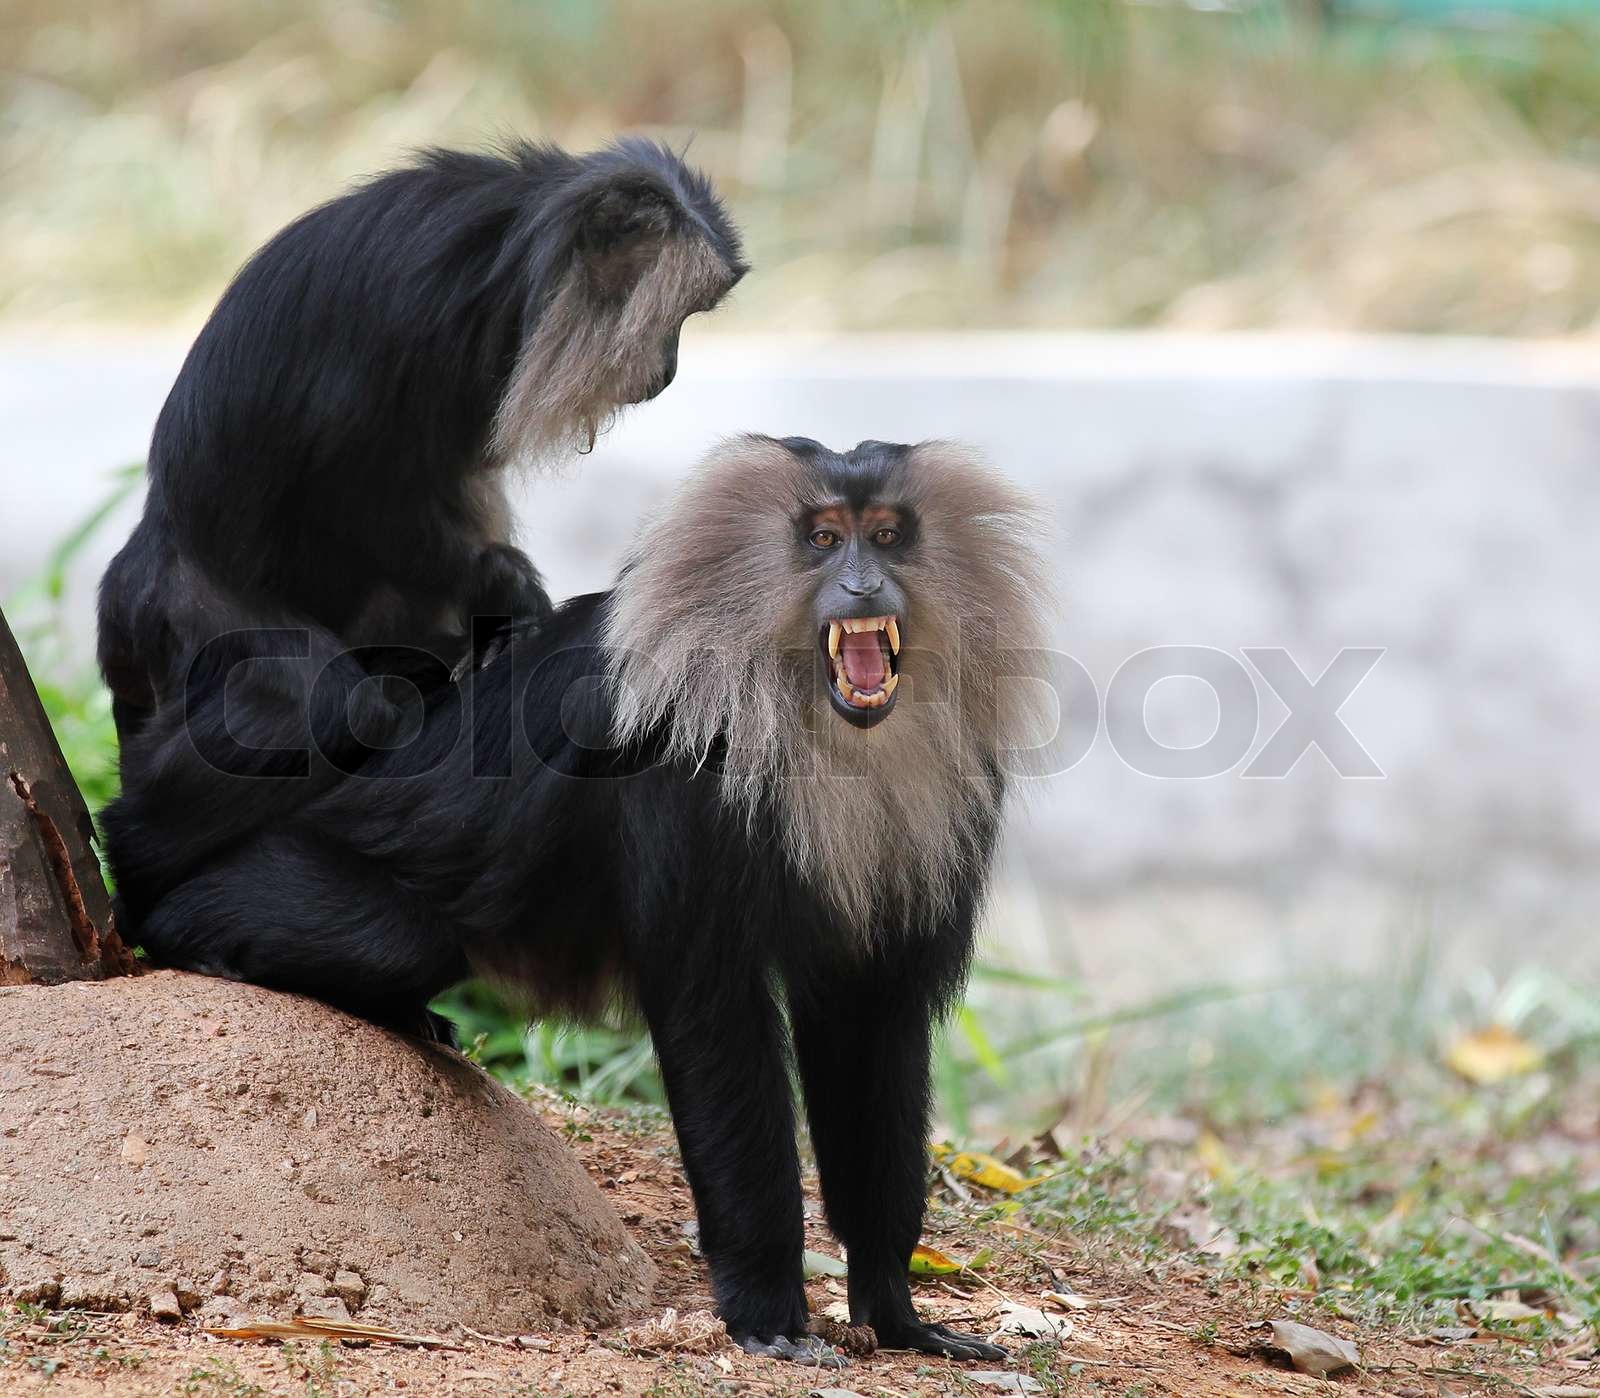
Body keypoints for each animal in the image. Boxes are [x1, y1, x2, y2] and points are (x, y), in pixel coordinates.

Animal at [98, 138, 745, 922]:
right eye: (672, 321)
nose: (669, 370)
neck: (506, 262)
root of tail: (148, 553)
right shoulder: (414, 300)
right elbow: (347, 481)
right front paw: (506, 588)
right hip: (191, 599)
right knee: (321, 704)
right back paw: (138, 851)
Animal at [105, 436, 1050, 1364]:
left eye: (887, 535)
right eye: (822, 539)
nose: (862, 587)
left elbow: (870, 1019)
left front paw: (893, 1309)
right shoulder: (683, 761)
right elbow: (712, 1011)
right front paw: (768, 1311)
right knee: (373, 921)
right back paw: (193, 928)